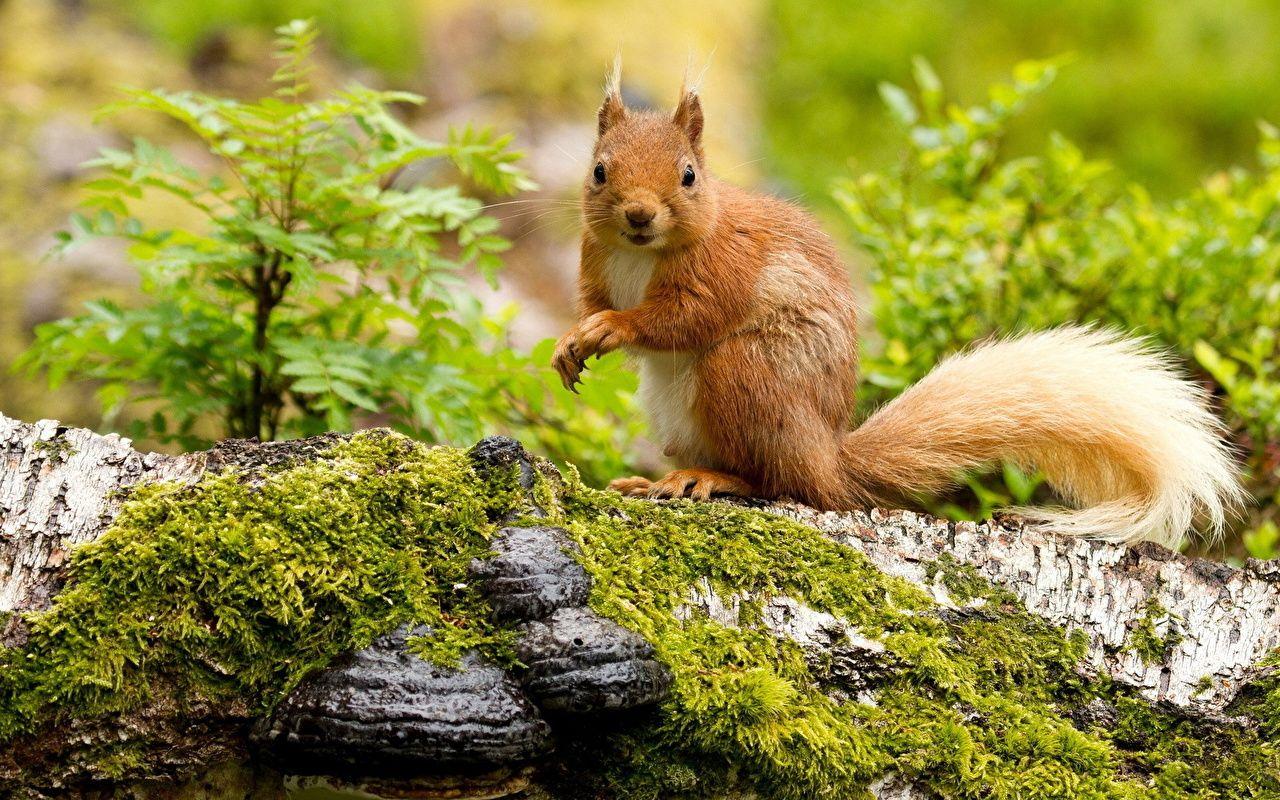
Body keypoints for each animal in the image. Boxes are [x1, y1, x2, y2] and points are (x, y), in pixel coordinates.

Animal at [551, 69, 1244, 547]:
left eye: (689, 175)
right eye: (599, 170)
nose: (639, 216)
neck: (641, 254)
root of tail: (828, 456)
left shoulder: (725, 269)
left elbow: (682, 319)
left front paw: (614, 327)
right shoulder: (594, 260)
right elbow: (594, 305)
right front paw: (572, 341)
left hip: (747, 377)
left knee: (786, 486)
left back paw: (714, 481)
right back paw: (653, 481)